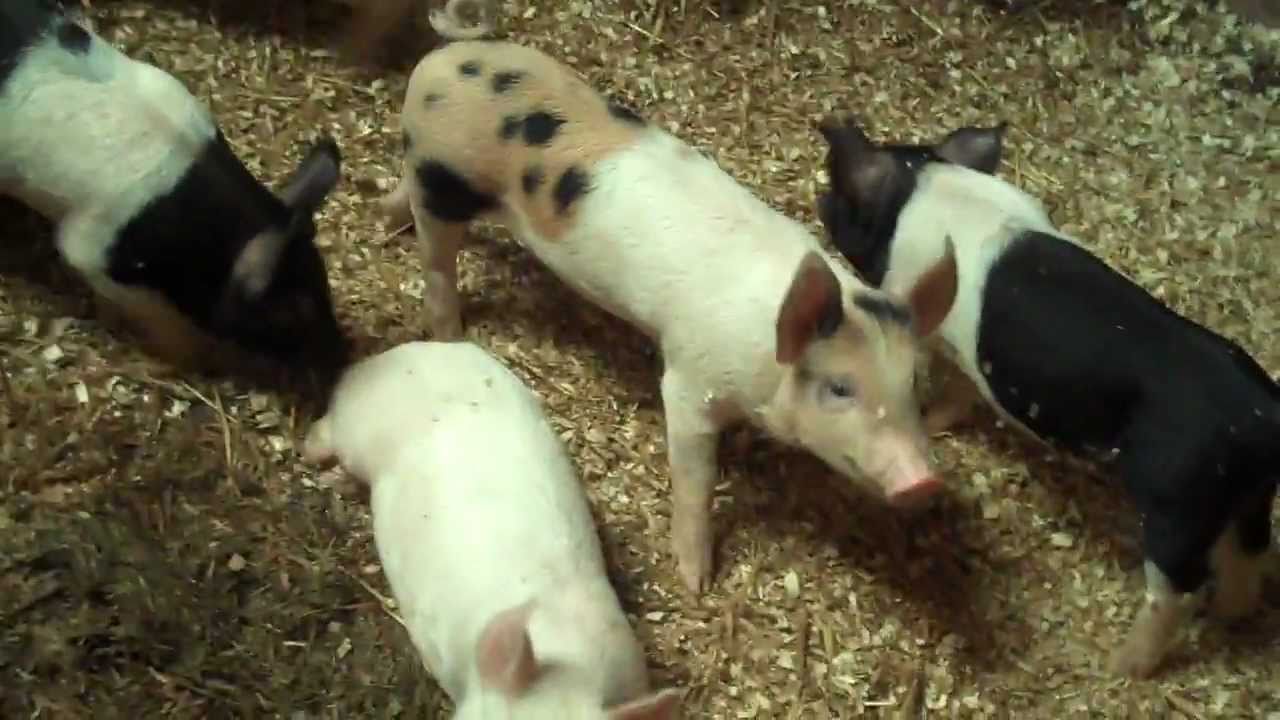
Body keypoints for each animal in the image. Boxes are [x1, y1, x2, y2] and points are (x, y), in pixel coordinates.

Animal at [378, 40, 960, 594]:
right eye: (840, 388)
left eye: (913, 384)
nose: (925, 482)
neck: (766, 357)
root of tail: (436, 65)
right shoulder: (689, 382)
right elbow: (695, 479)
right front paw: (697, 582)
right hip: (443, 181)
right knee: (437, 267)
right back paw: (451, 334)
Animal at [815, 116, 1280, 678]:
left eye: (844, 197)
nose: (819, 199)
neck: (927, 187)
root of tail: (1262, 418)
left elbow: (953, 382)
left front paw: (930, 414)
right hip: (1250, 497)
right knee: (1250, 554)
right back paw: (1232, 617)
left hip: (1179, 506)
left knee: (1177, 592)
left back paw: (1121, 665)